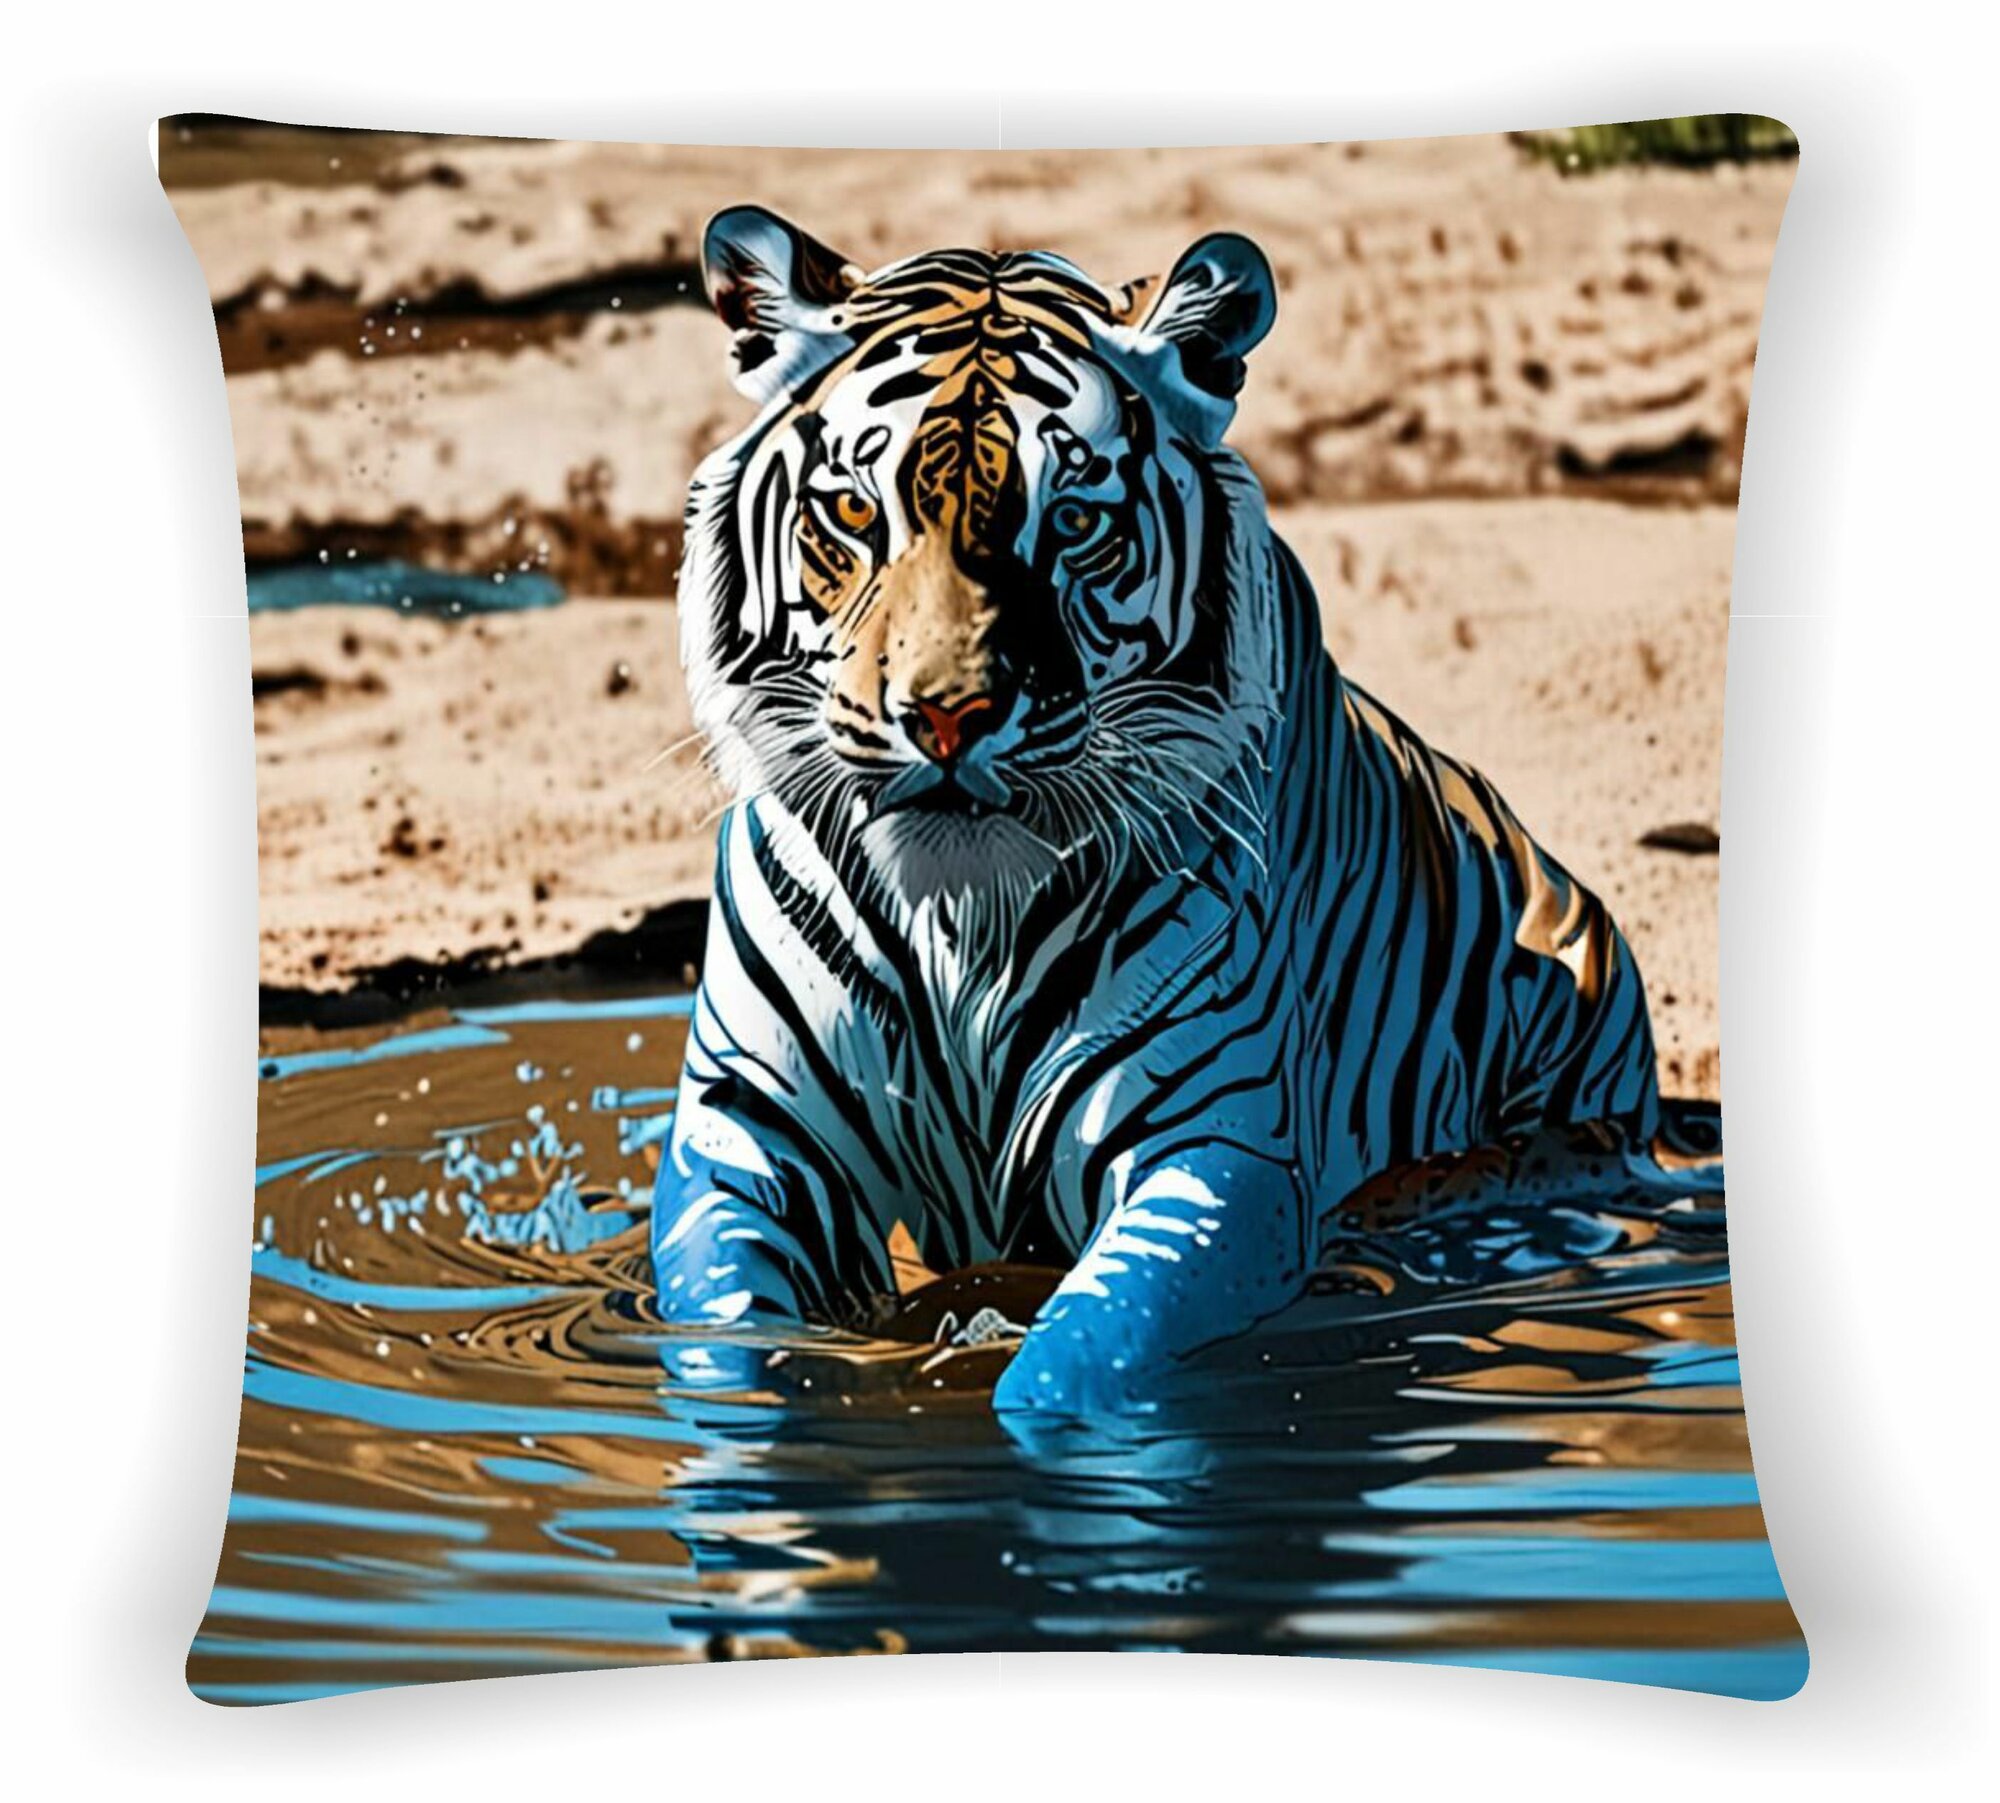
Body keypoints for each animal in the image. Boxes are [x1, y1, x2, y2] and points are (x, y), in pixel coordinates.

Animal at [652, 204, 1717, 1416]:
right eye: (849, 513)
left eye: (1071, 521)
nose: (948, 717)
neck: (960, 917)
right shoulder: (743, 1132)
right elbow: (723, 1341)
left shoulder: (1213, 1152)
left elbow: (1074, 1361)